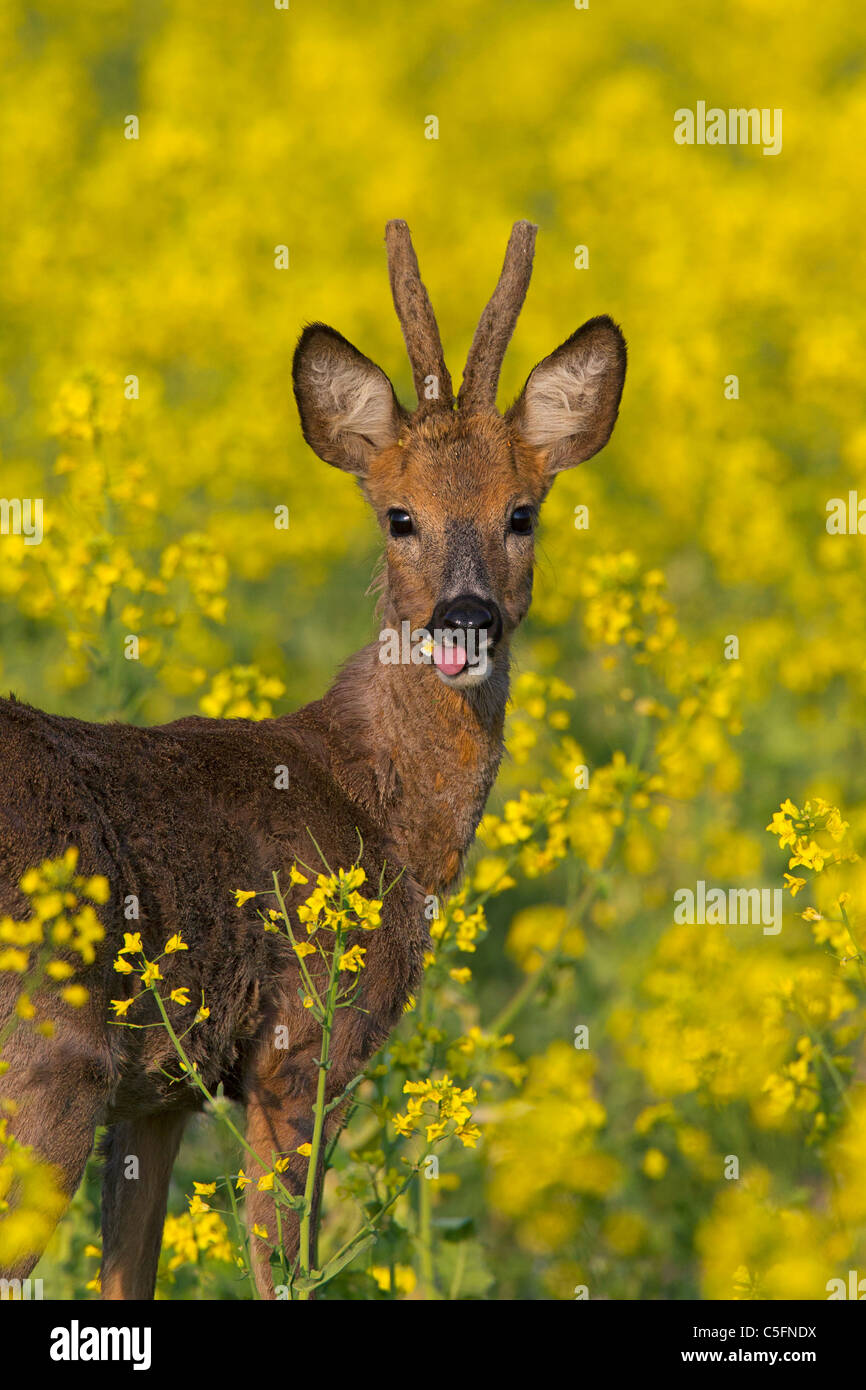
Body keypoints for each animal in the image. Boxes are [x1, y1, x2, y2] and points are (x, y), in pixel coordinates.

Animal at [0, 220, 626, 1299]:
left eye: (522, 512)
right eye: (399, 514)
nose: (465, 617)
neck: (378, 800)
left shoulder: (160, 1091)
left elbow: (130, 1271)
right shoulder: (301, 1046)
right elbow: (282, 1270)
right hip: (48, 1057)